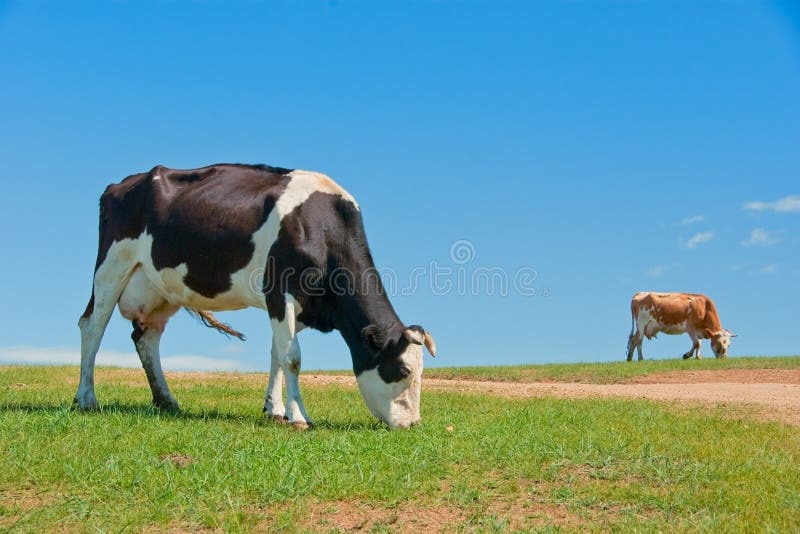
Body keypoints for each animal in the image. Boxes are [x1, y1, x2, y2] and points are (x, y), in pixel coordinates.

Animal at [76, 163, 437, 429]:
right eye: (403, 370)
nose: (413, 424)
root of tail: (120, 185)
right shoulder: (279, 289)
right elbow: (293, 357)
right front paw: (298, 416)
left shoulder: (298, 305)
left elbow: (277, 353)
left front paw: (275, 409)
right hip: (111, 266)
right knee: (92, 326)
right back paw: (86, 399)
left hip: (162, 286)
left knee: (146, 337)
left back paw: (166, 400)